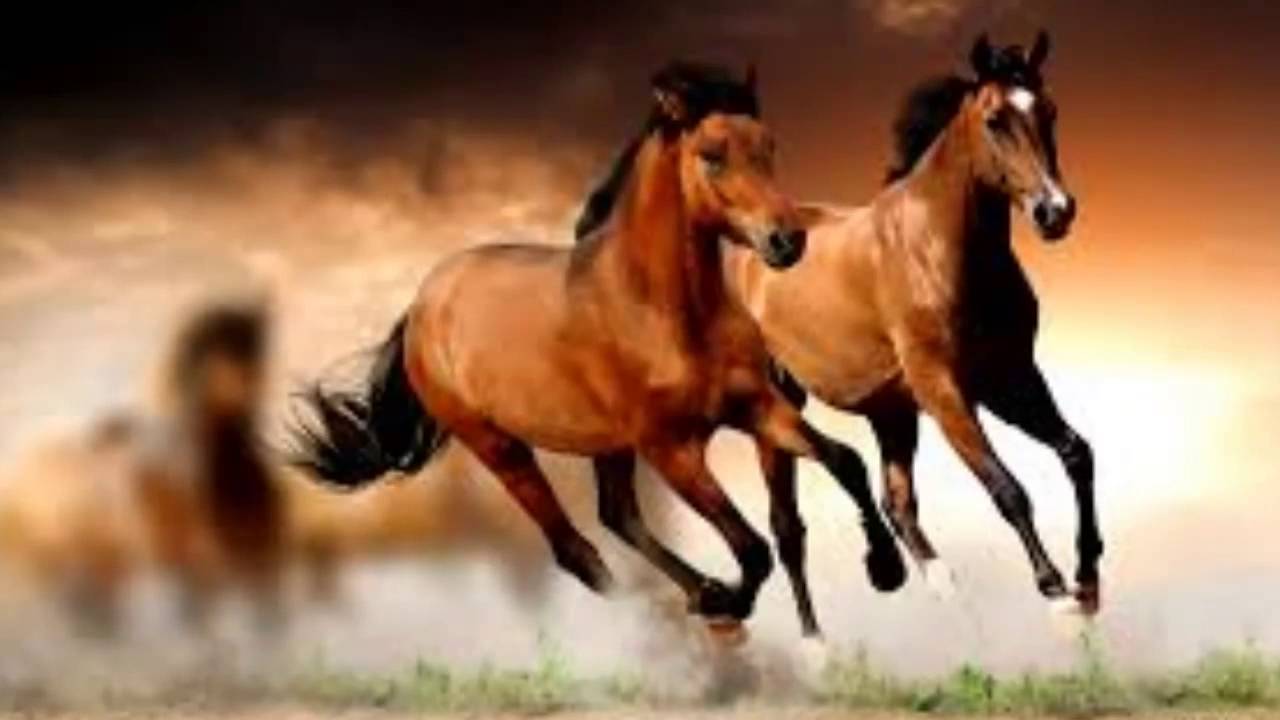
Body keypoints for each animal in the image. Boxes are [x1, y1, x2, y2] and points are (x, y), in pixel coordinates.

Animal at [288, 62, 905, 636]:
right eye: (711, 155)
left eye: (768, 146)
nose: (787, 241)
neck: (665, 310)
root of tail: (422, 305)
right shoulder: (671, 448)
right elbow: (753, 549)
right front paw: (727, 601)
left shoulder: (756, 405)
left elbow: (844, 462)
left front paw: (886, 568)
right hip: (500, 448)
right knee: (576, 549)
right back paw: (685, 620)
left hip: (606, 443)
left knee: (618, 516)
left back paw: (699, 598)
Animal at [723, 32, 1100, 637]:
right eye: (995, 120)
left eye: (1050, 111)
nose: (1055, 211)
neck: (938, 249)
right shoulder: (943, 388)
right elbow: (1007, 488)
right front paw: (1057, 593)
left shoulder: (1009, 378)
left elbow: (1077, 454)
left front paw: (1088, 580)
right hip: (779, 402)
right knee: (787, 526)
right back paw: (818, 641)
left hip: (892, 412)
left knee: (895, 500)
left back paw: (932, 582)